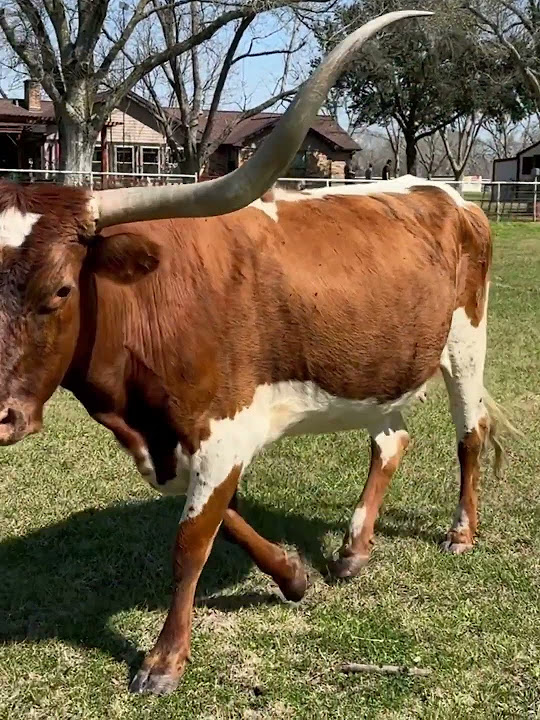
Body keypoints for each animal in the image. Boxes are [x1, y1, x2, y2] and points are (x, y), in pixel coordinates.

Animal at [0, 11, 508, 696]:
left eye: (59, 290)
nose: (2, 417)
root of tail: (449, 196)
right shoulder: (174, 441)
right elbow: (224, 519)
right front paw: (293, 577)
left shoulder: (221, 427)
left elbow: (192, 539)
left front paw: (164, 660)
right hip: (383, 366)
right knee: (391, 440)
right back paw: (353, 549)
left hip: (465, 346)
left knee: (469, 435)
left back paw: (460, 532)